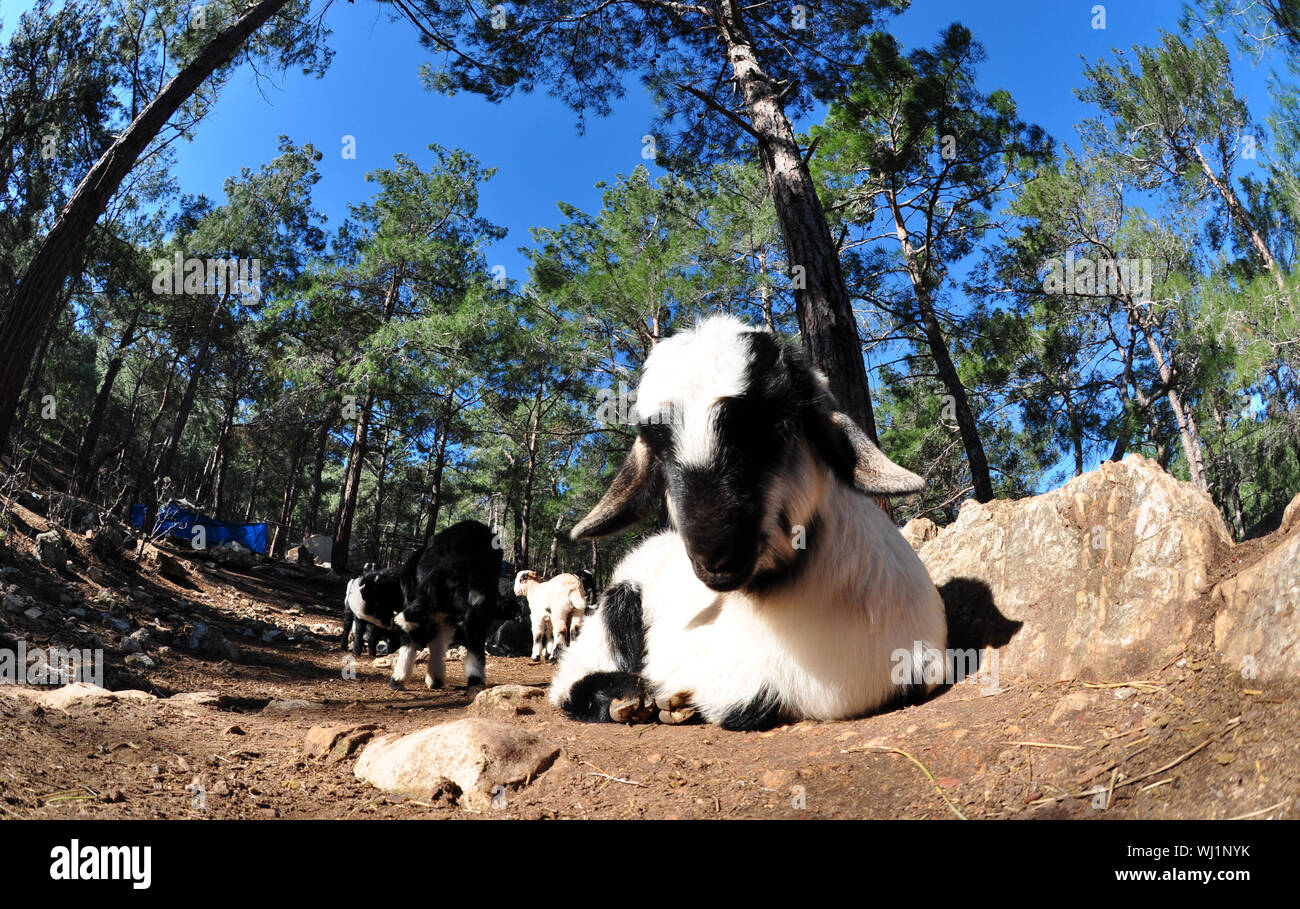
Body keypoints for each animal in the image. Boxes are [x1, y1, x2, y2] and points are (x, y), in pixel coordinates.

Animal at [550, 315, 947, 731]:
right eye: (659, 449)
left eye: (781, 424)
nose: (714, 557)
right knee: (567, 679)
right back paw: (623, 698)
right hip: (616, 606)